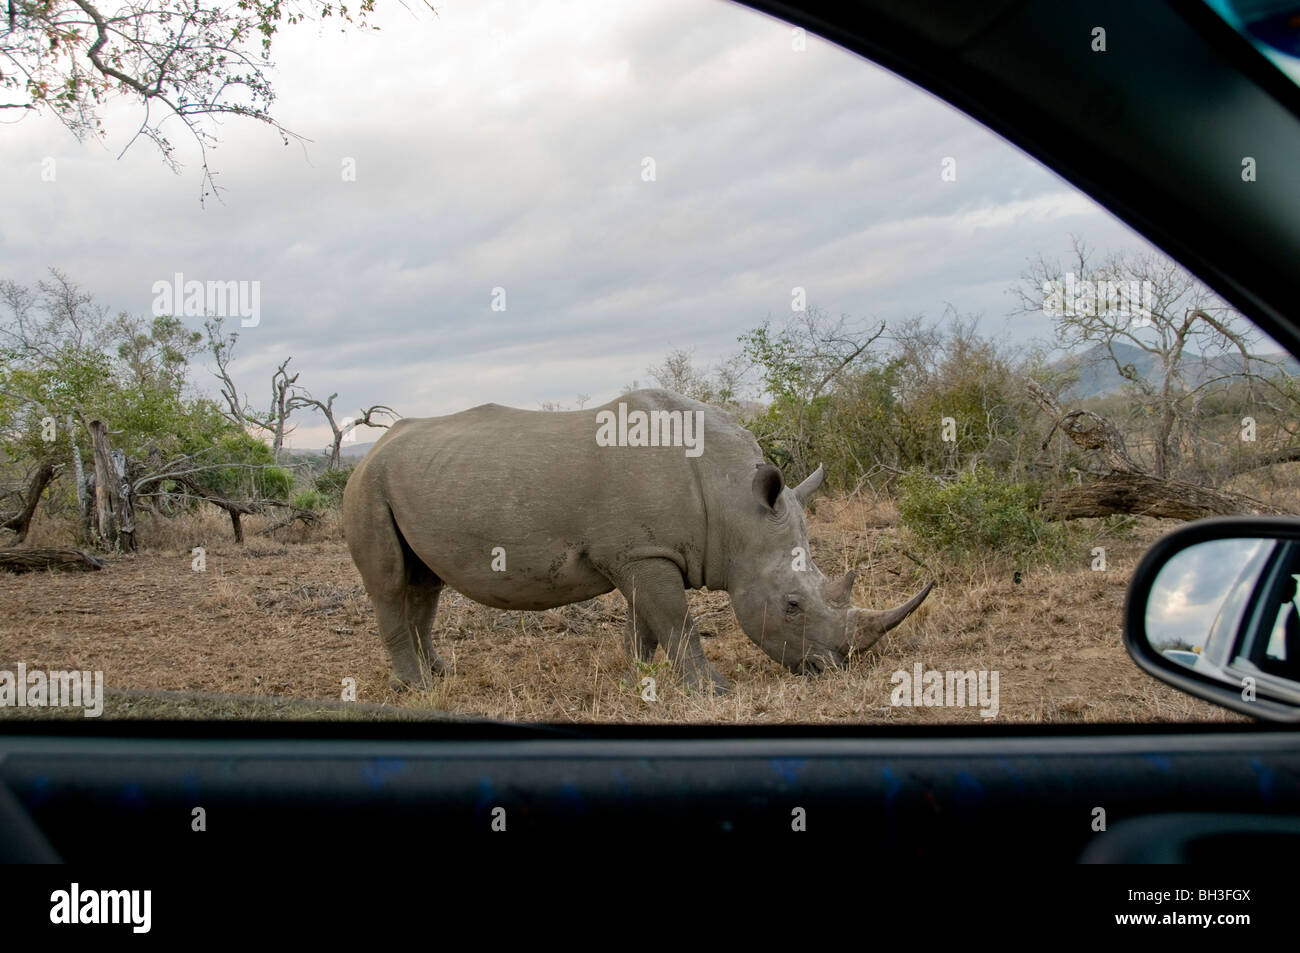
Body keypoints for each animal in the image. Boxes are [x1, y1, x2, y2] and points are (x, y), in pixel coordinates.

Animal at [342, 388, 932, 693]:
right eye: (792, 605)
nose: (831, 668)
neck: (731, 502)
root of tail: (373, 450)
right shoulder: (644, 553)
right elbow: (677, 621)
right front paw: (714, 690)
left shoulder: (642, 551)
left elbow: (646, 621)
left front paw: (639, 674)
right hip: (367, 487)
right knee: (390, 583)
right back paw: (416, 689)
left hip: (403, 481)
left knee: (425, 583)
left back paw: (441, 674)